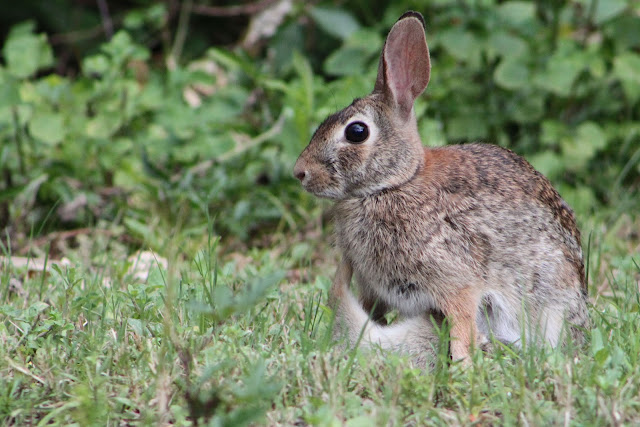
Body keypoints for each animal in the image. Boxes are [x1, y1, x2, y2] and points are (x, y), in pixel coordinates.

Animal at [293, 11, 590, 361]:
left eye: (356, 132)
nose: (300, 172)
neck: (394, 184)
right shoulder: (375, 288)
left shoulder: (456, 282)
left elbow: (462, 326)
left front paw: (462, 365)